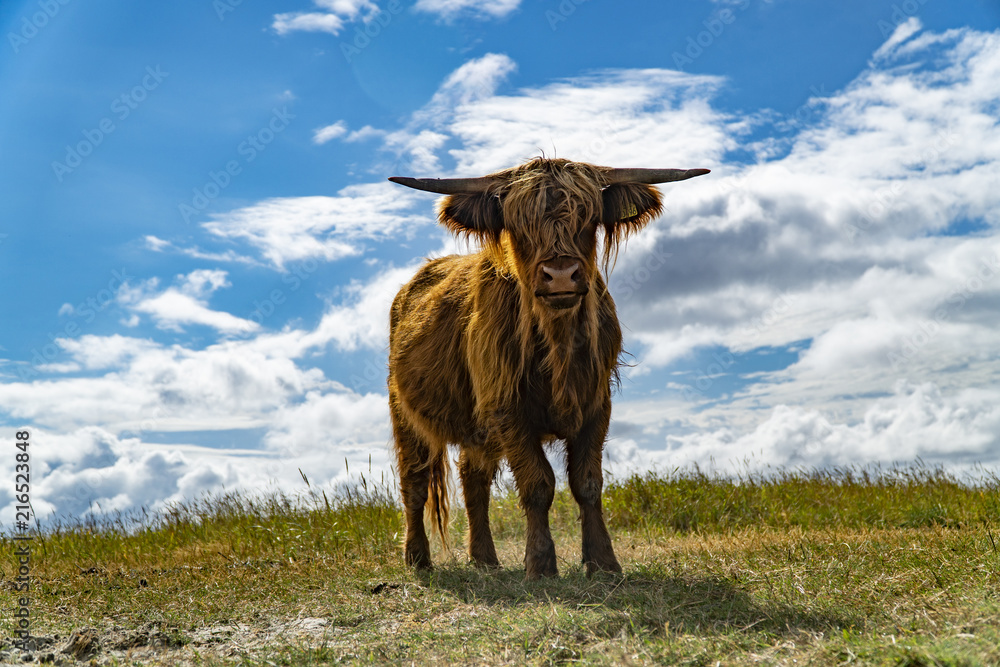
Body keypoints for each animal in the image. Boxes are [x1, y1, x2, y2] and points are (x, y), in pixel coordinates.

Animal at [387, 157, 709, 579]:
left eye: (588, 219)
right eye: (518, 225)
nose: (560, 276)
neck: (559, 345)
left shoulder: (597, 404)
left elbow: (587, 482)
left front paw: (604, 562)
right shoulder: (507, 408)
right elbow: (538, 483)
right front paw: (540, 565)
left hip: (478, 430)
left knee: (474, 481)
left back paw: (485, 559)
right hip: (404, 413)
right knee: (415, 480)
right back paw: (417, 559)